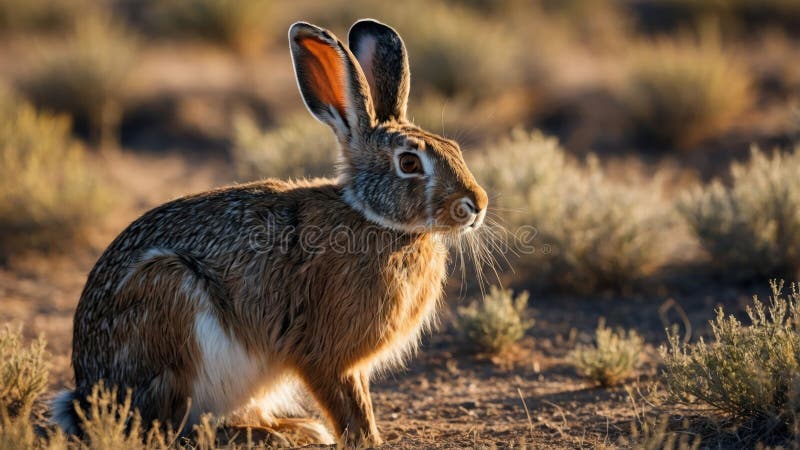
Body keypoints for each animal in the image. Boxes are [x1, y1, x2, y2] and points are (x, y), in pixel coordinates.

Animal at [51, 19, 488, 446]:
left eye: (453, 148)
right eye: (409, 163)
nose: (476, 205)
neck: (374, 217)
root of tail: (89, 397)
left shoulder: (348, 365)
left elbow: (359, 399)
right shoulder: (324, 355)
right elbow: (346, 405)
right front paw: (366, 441)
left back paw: (291, 428)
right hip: (169, 305)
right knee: (169, 427)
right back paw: (260, 434)